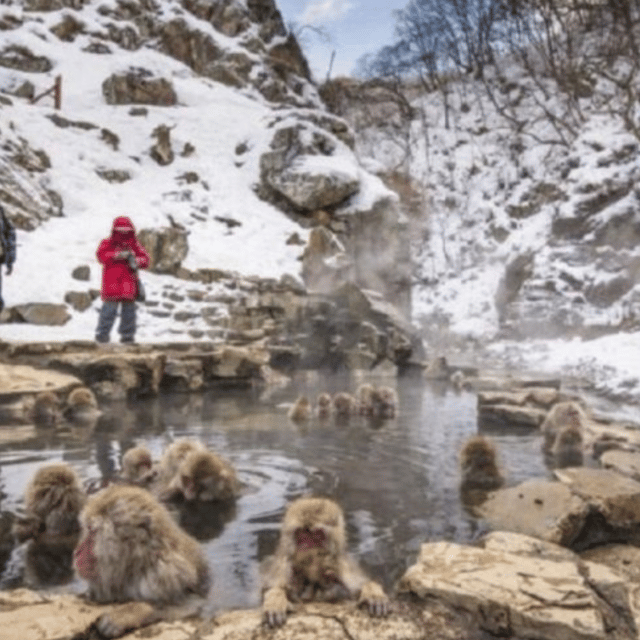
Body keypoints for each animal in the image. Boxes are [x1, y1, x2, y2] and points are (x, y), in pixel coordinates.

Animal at [73, 485, 210, 638]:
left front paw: (128, 614)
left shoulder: (168, 574)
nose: (77, 552)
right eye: (87, 529)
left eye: (92, 532)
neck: (135, 565)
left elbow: (192, 605)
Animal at [262, 496, 389, 627]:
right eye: (301, 533)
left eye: (317, 534)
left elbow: (355, 589)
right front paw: (276, 598)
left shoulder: (342, 564)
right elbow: (271, 588)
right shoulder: (283, 565)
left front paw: (372, 593)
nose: (306, 547)